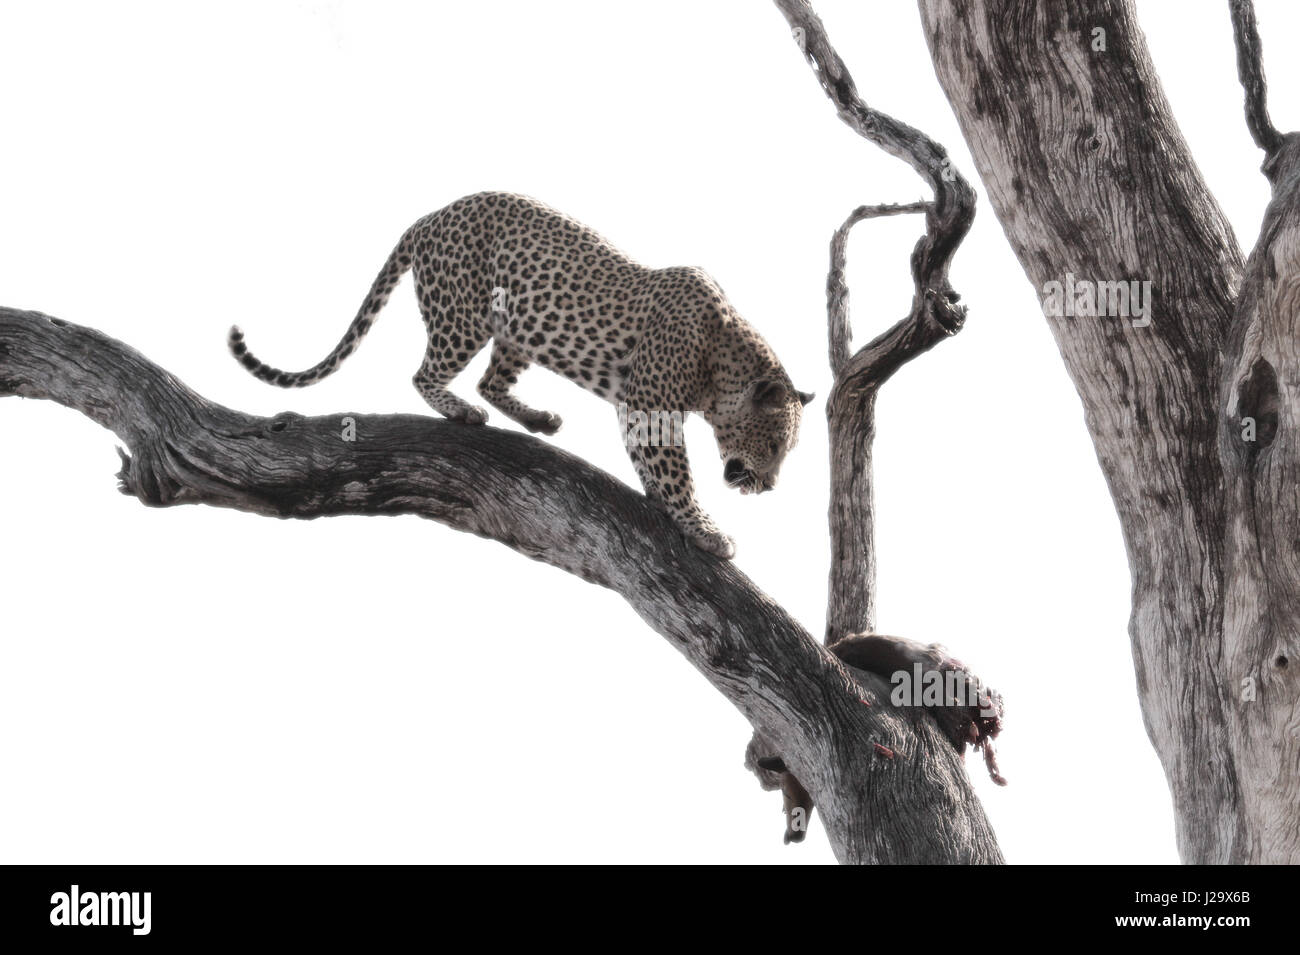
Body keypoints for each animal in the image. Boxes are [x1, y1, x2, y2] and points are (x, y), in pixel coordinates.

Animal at [228, 192, 812, 559]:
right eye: (775, 444)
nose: (768, 487)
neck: (722, 366)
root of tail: (432, 214)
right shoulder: (649, 405)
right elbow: (675, 473)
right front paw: (706, 531)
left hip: (519, 328)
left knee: (491, 381)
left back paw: (540, 420)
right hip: (463, 315)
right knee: (425, 374)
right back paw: (462, 410)